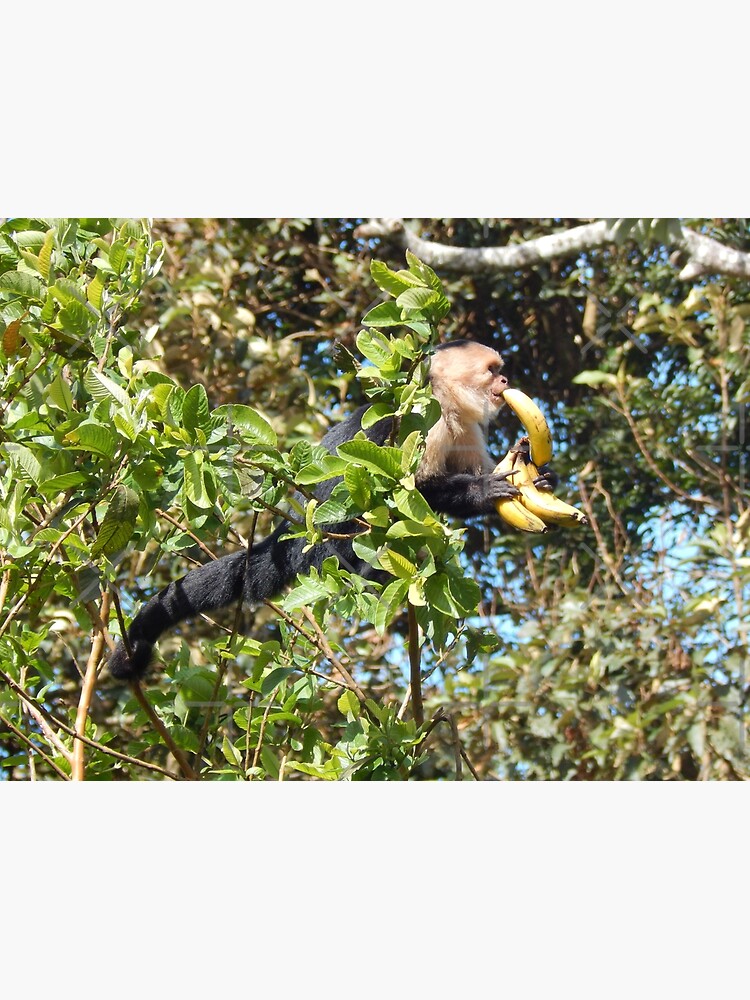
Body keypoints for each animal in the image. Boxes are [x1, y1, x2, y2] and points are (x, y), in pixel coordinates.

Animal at [108, 340, 554, 681]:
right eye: (492, 371)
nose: (506, 382)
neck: (448, 402)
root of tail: (294, 537)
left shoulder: (467, 426)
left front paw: (533, 473)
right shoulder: (421, 417)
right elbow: (408, 489)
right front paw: (483, 491)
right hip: (326, 544)